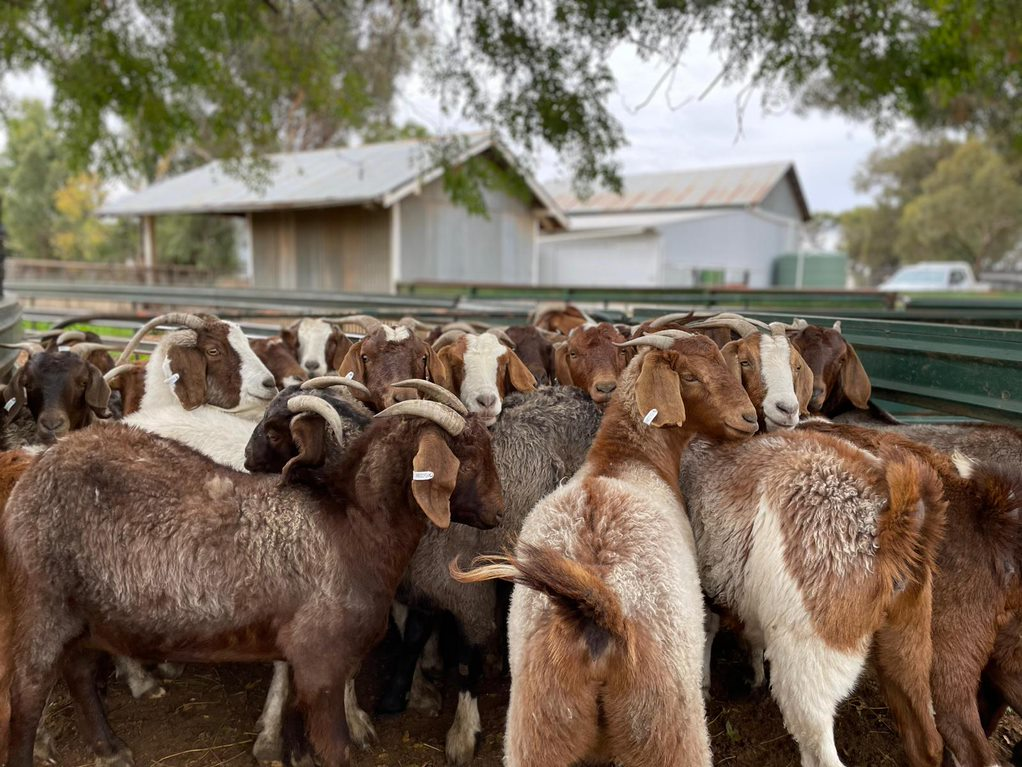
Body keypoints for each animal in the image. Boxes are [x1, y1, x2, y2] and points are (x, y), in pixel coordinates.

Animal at [1, 387, 504, 767]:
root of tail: (37, 466)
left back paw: (109, 749)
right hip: (40, 602)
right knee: (25, 693)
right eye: (468, 458)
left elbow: (302, 733)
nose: (498, 513)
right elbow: (335, 751)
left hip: (84, 612)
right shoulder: (323, 660)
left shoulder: (303, 660)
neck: (350, 523)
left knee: (79, 671)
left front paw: (291, 753)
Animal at [451, 332, 758, 767]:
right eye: (690, 376)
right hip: (663, 723)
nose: (749, 418)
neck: (622, 461)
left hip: (540, 724)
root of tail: (598, 607)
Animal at [680, 427, 945, 767]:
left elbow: (708, 628)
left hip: (810, 657)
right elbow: (749, 635)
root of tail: (892, 519)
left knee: (819, 751)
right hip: (911, 638)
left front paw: (706, 684)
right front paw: (754, 676)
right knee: (928, 740)